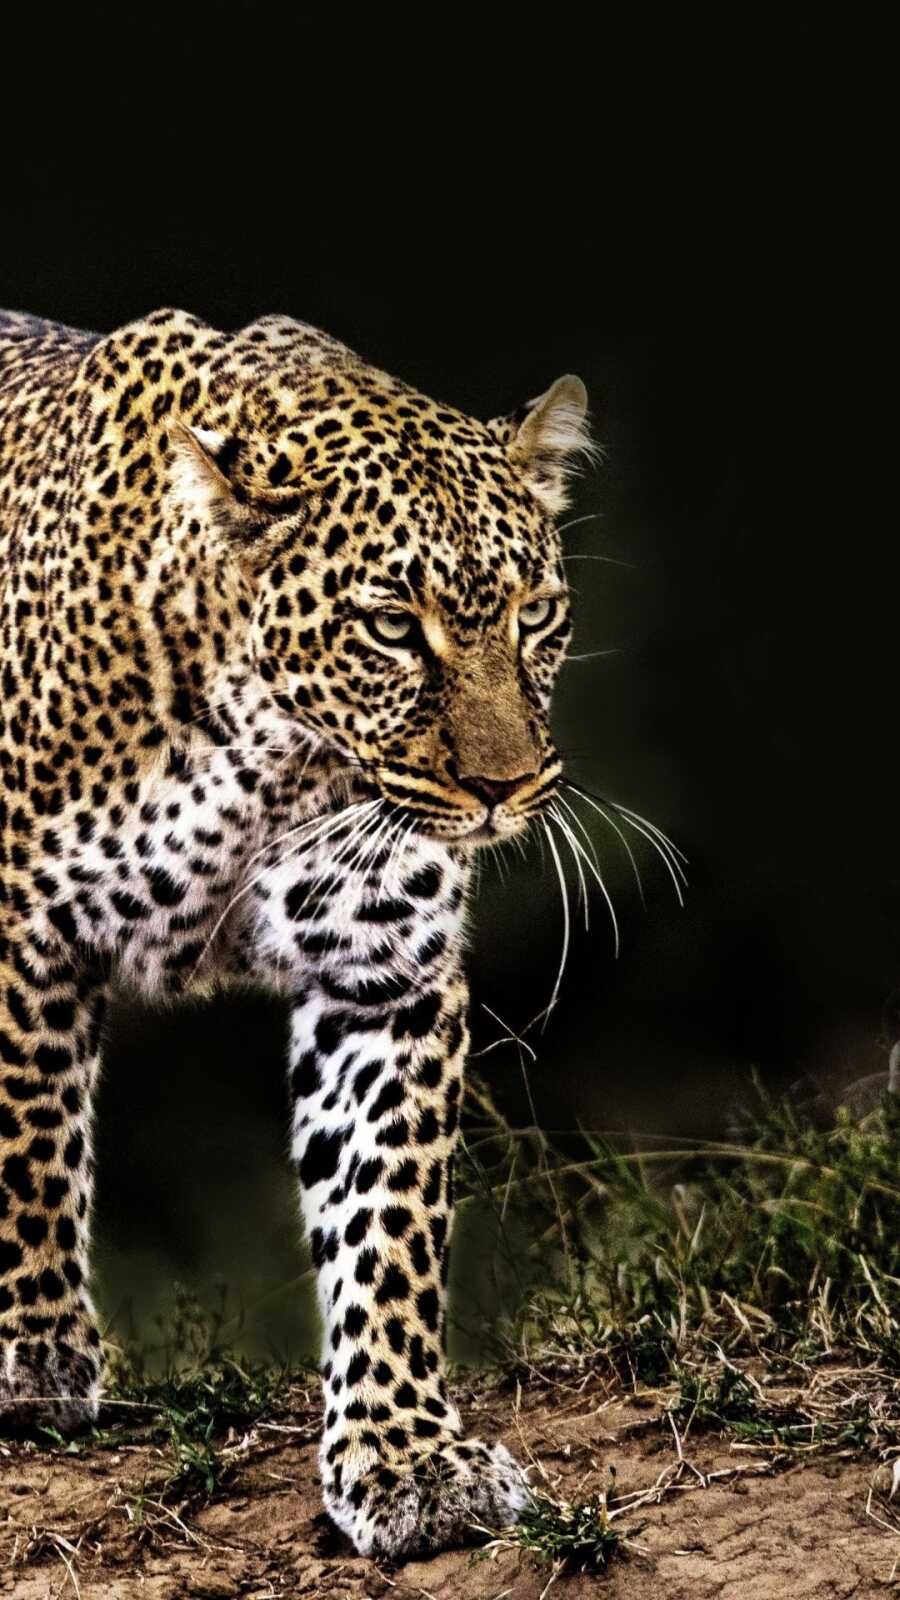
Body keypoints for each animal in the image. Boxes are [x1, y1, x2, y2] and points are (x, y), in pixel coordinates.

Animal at [0, 306, 594, 1558]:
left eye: (535, 613)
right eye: (392, 627)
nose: (505, 789)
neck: (270, 751)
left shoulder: (384, 965)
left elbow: (387, 1219)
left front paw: (406, 1455)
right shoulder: (21, 920)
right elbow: (28, 1139)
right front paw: (31, 1360)